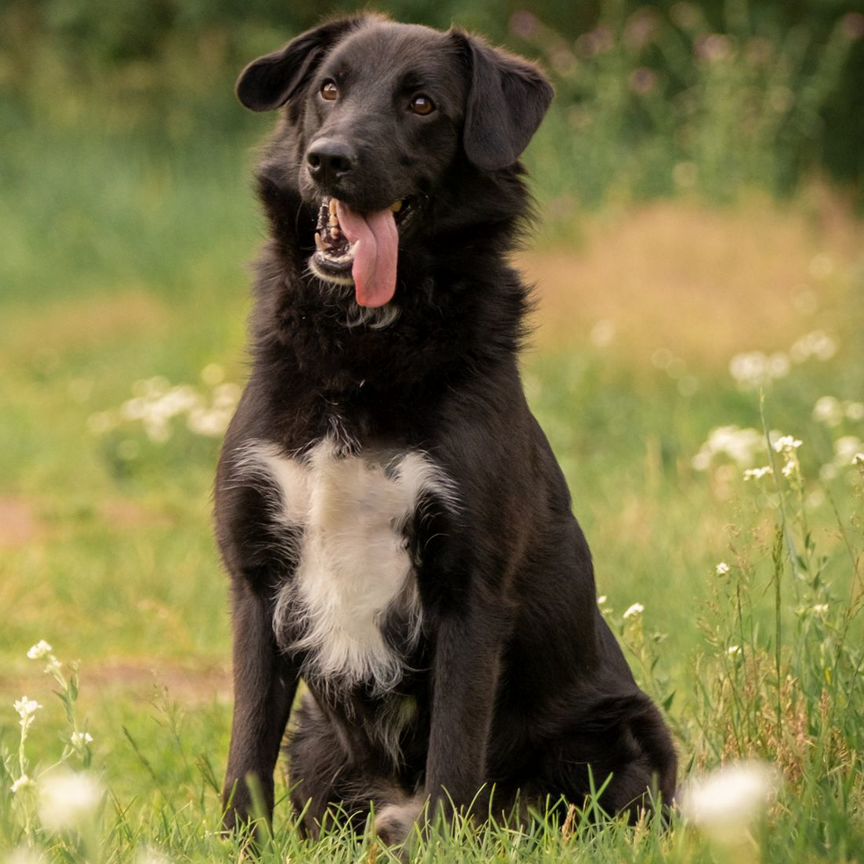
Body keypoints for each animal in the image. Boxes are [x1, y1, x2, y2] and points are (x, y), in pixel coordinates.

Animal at [216, 13, 676, 844]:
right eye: (328, 88)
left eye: (422, 103)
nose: (328, 159)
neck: (361, 353)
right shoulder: (257, 578)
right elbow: (246, 752)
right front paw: (236, 847)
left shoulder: (470, 588)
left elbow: (454, 754)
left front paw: (441, 841)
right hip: (316, 742)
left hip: (625, 729)